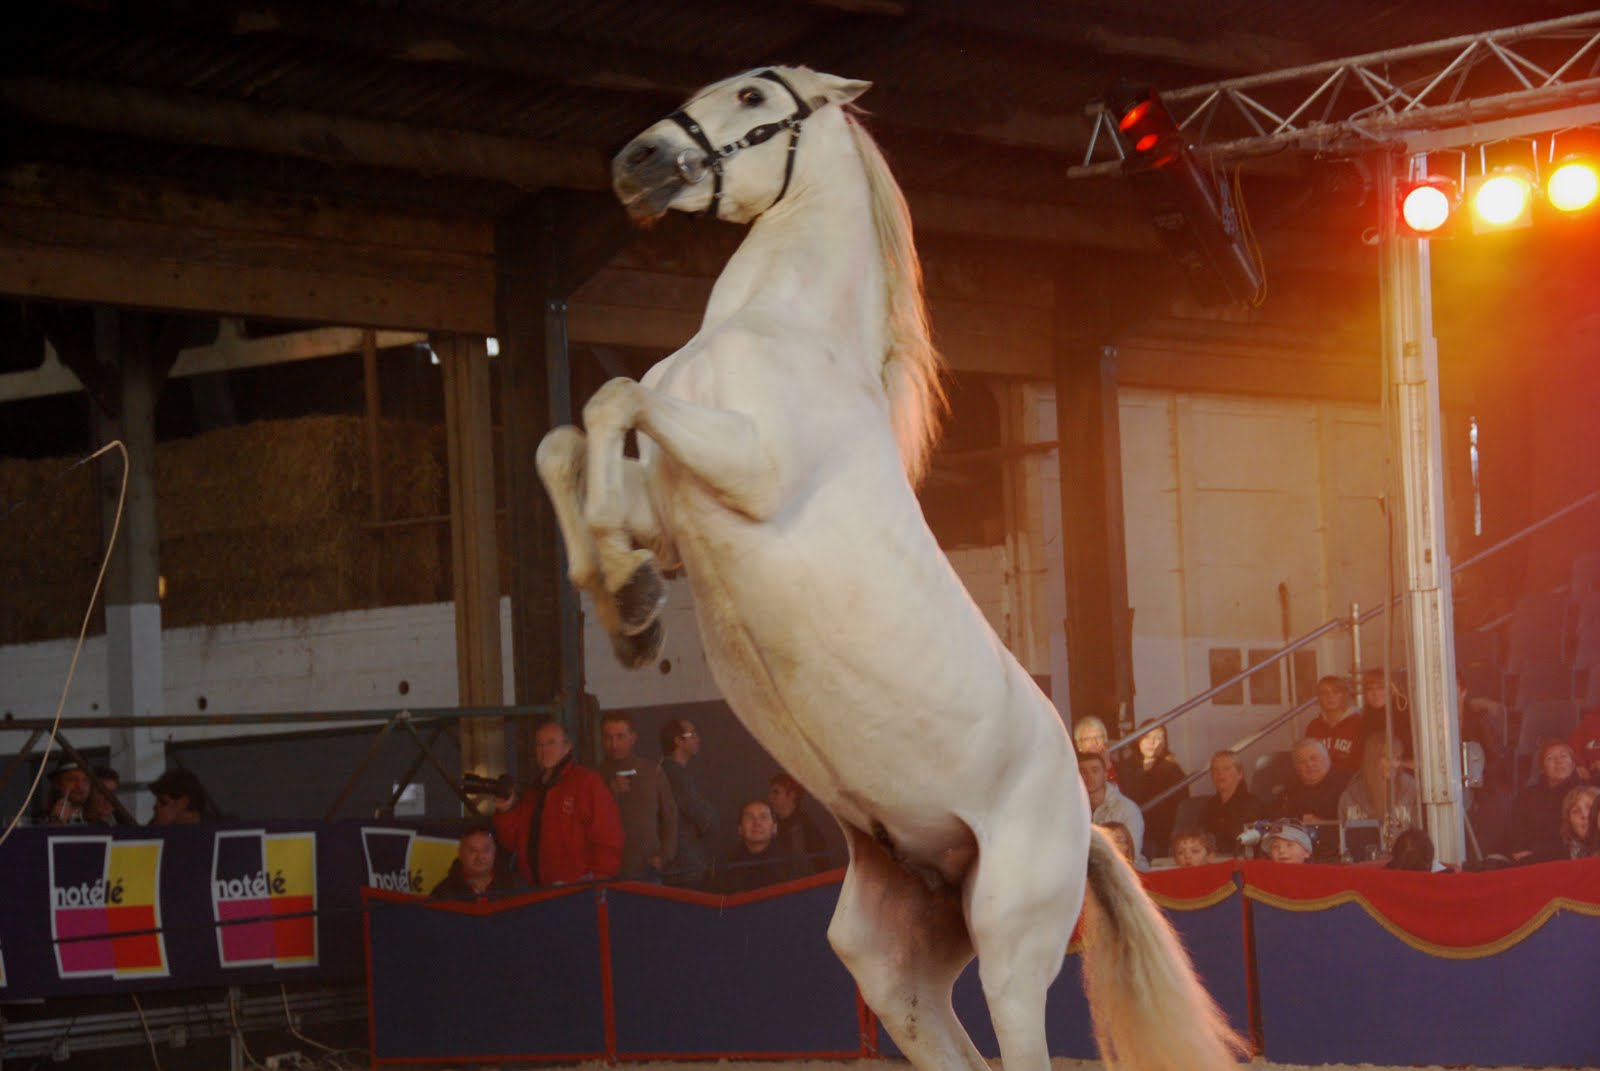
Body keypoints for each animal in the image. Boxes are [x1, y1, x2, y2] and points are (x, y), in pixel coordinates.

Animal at [537, 65, 1245, 1071]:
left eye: (753, 97)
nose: (637, 163)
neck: (780, 333)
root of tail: (1085, 821)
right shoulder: (674, 509)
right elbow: (565, 440)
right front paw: (626, 604)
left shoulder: (747, 469)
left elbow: (614, 395)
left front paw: (628, 598)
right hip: (889, 960)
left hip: (1011, 946)